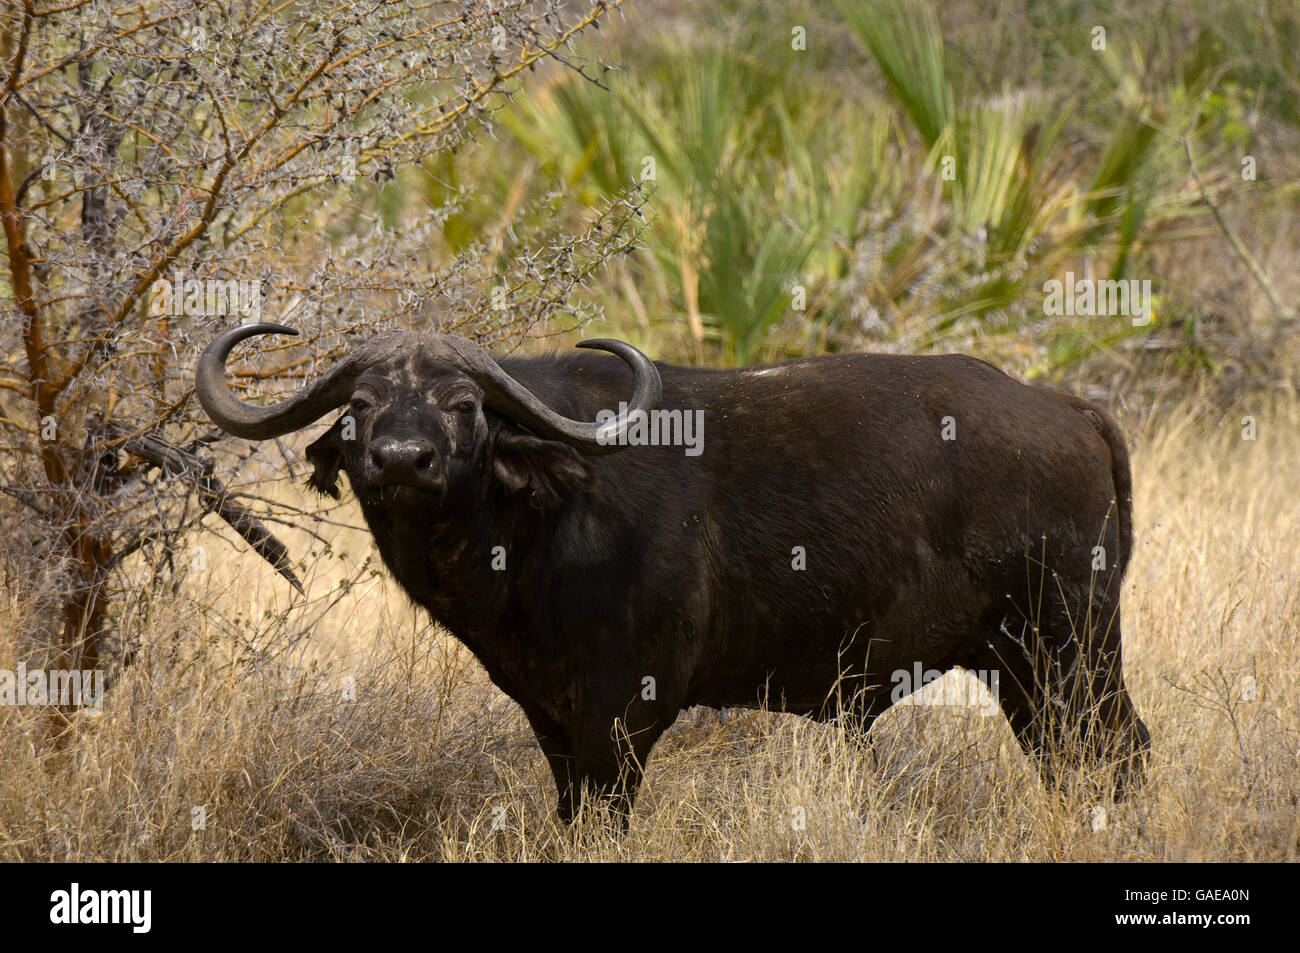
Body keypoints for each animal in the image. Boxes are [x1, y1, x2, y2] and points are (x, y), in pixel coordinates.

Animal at [196, 323, 1150, 823]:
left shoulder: (627, 706)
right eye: (360, 406)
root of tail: (1066, 406)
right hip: (1022, 669)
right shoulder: (549, 710)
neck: (539, 521)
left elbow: (606, 809)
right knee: (1073, 759)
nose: (400, 459)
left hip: (1072, 649)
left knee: (1120, 748)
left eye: (464, 406)